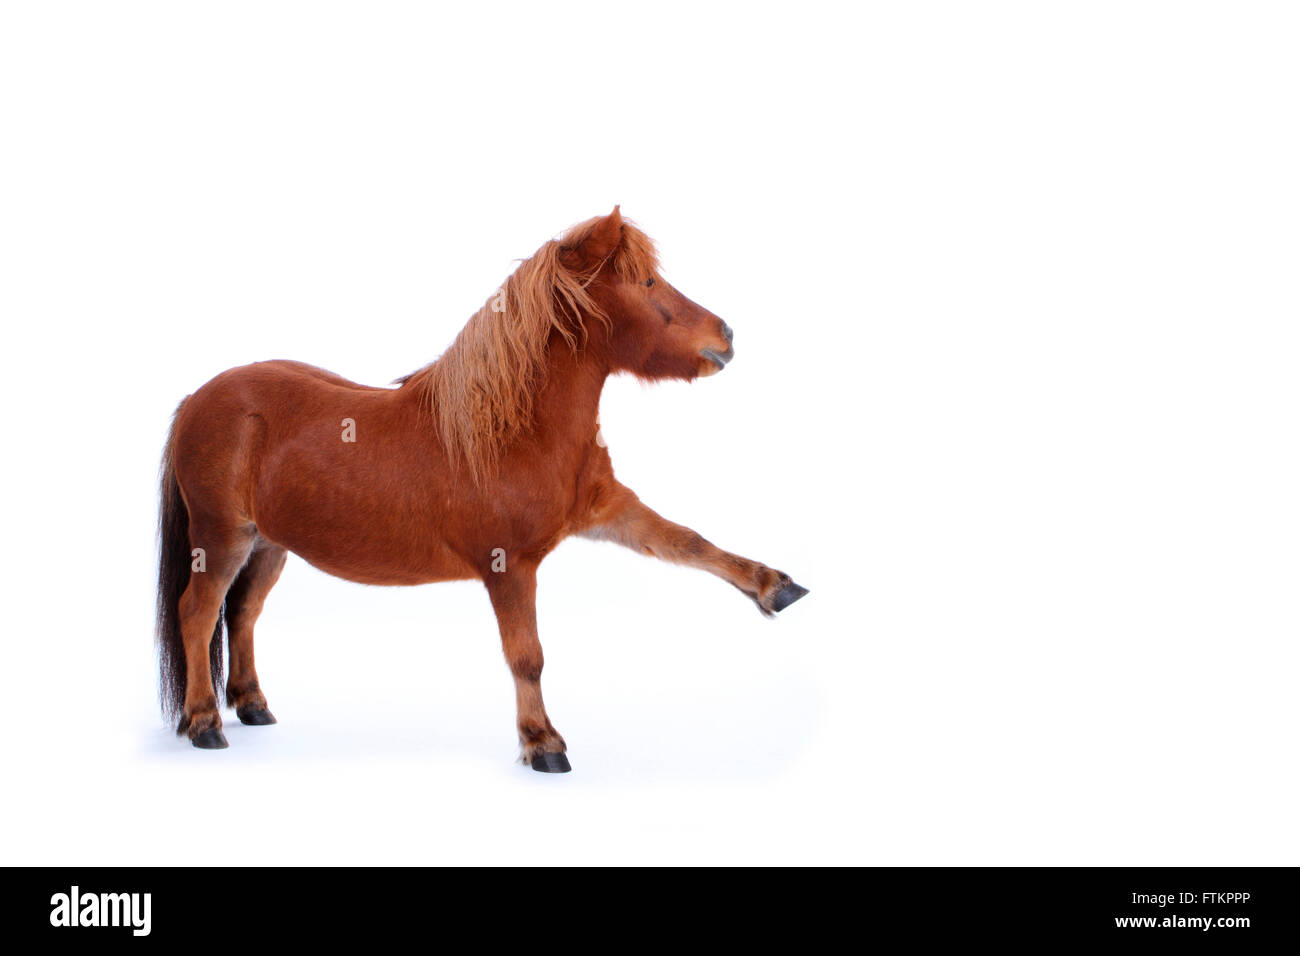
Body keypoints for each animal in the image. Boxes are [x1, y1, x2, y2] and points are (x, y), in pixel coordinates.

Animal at [155, 206, 808, 772]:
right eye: (647, 281)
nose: (726, 334)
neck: (511, 428)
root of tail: (196, 399)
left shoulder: (606, 511)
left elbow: (688, 542)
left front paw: (774, 587)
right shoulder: (510, 566)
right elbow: (528, 657)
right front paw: (542, 743)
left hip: (268, 545)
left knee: (242, 612)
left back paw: (252, 705)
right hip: (222, 537)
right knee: (197, 611)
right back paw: (205, 722)